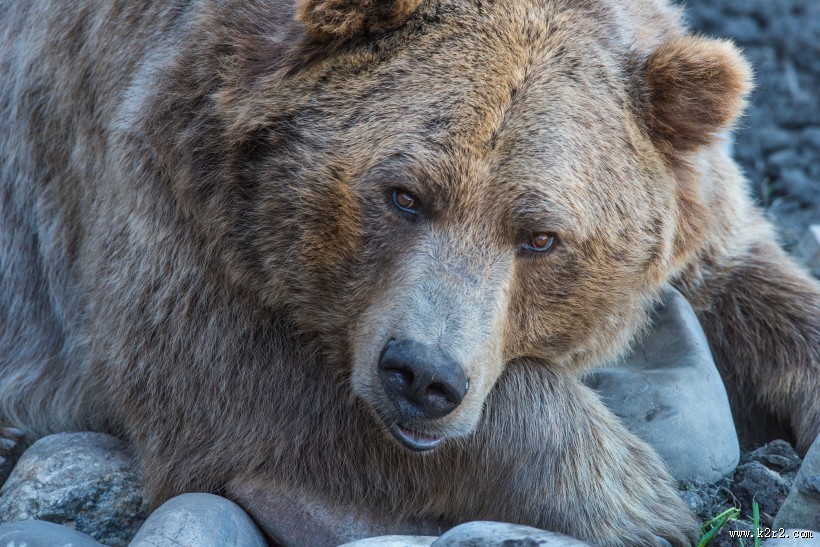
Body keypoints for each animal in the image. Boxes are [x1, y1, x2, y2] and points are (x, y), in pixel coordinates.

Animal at [0, 0, 818, 545]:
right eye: (403, 194)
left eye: (541, 237)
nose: (424, 376)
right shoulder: (151, 167)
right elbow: (222, 380)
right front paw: (636, 498)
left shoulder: (698, 207)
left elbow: (748, 278)